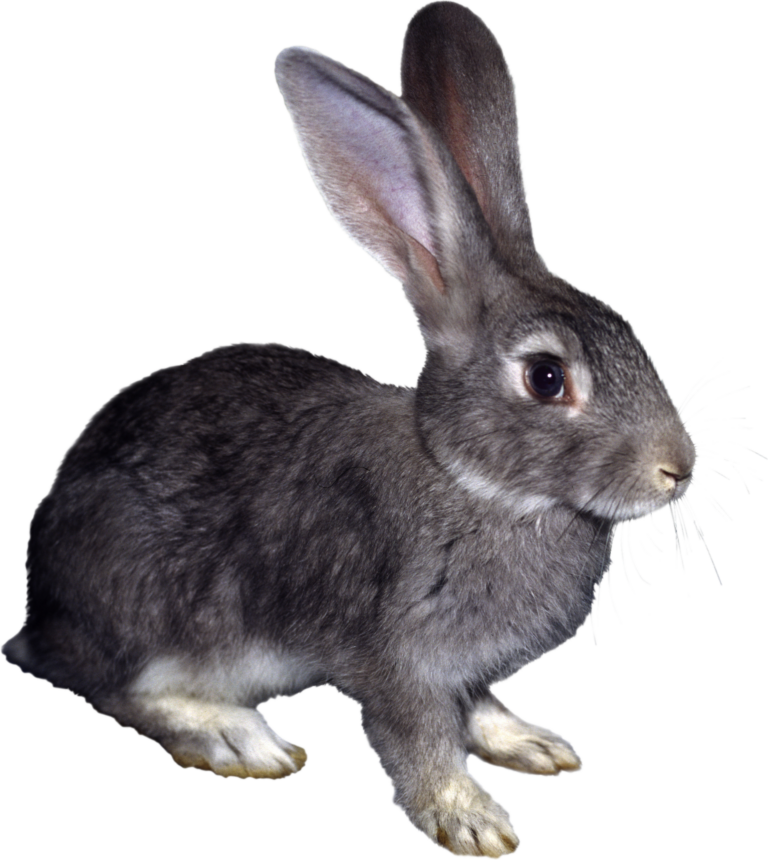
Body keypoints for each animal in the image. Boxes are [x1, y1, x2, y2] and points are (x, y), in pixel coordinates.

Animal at [2, 1, 697, 856]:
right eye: (545, 377)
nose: (678, 466)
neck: (475, 481)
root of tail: (39, 613)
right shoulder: (396, 654)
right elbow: (419, 737)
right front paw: (470, 819)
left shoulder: (464, 670)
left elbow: (479, 706)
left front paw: (532, 744)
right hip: (148, 600)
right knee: (113, 685)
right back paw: (239, 739)